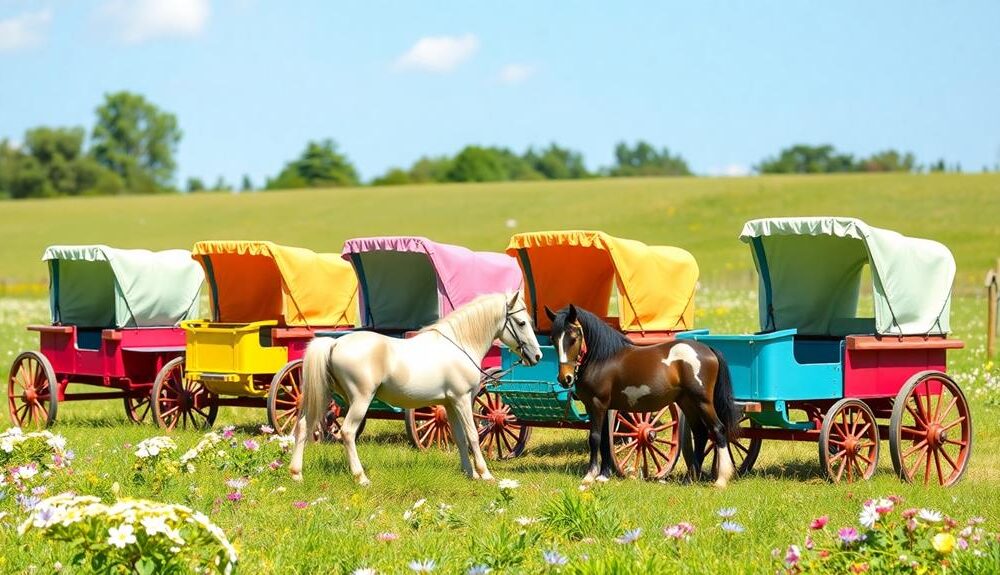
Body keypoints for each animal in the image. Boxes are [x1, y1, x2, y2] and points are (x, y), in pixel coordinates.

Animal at [289, 292, 543, 485]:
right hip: (360, 400)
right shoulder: (462, 400)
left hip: (326, 397)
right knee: (348, 432)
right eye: (521, 323)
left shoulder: (450, 403)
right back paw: (361, 478)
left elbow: (459, 437)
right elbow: (472, 435)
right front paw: (484, 474)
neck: (460, 343)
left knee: (303, 426)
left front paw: (468, 473)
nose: (537, 356)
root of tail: (335, 343)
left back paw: (296, 474)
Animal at [545, 304, 740, 488]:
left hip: (703, 402)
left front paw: (589, 477)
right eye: (553, 339)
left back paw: (721, 480)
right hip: (687, 402)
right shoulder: (602, 407)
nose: (565, 378)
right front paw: (603, 476)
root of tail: (708, 349)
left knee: (718, 430)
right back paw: (689, 479)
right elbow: (605, 441)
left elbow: (595, 438)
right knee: (700, 433)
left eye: (573, 338)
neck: (603, 359)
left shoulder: (597, 405)